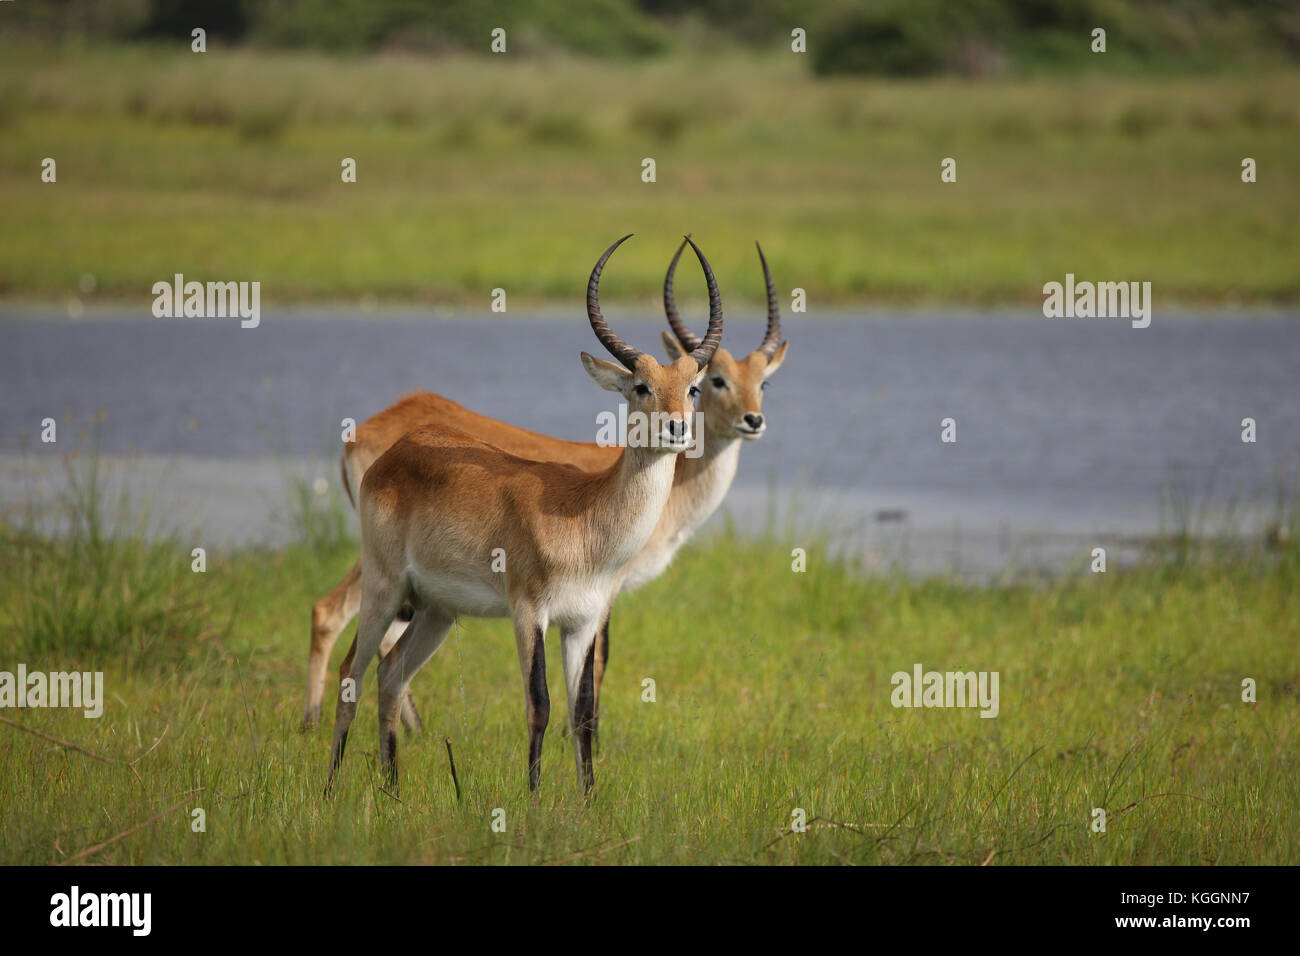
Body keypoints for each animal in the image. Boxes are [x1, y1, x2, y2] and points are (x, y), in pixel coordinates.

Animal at [302, 240, 790, 749]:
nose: (753, 420)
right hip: (386, 571)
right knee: (339, 621)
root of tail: (369, 431)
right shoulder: (591, 598)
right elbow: (593, 669)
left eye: (761, 381)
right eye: (717, 380)